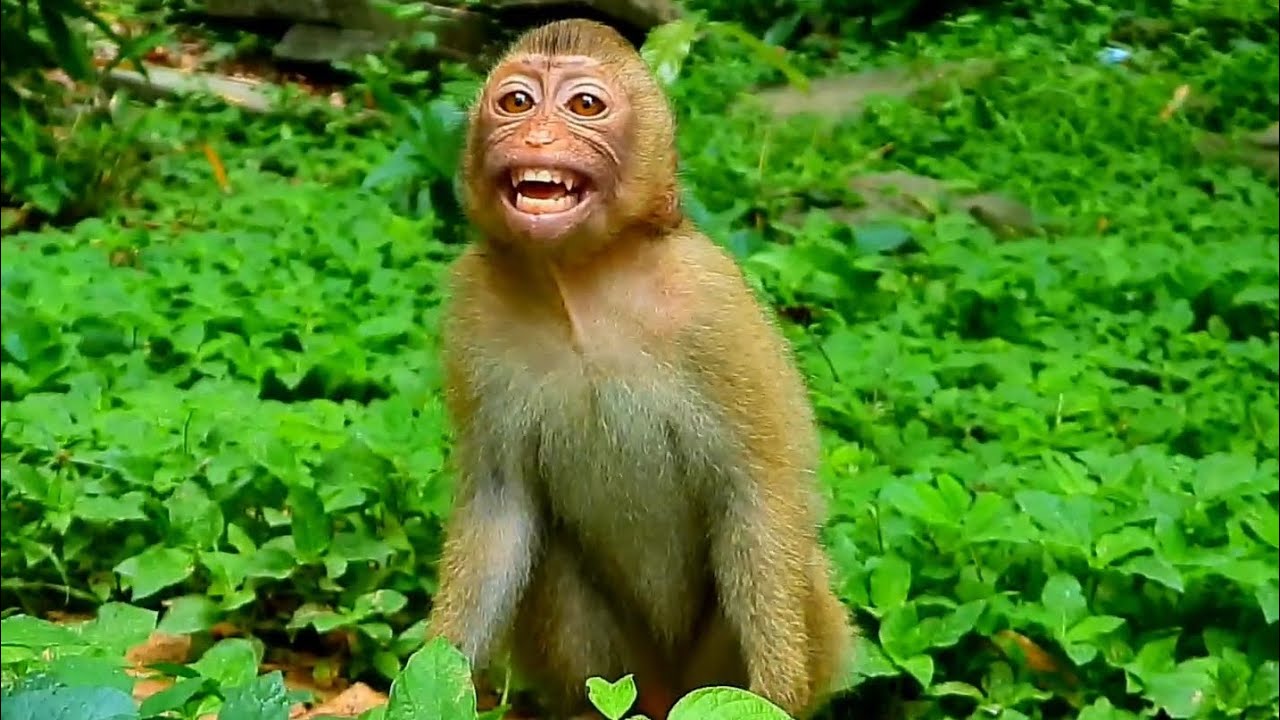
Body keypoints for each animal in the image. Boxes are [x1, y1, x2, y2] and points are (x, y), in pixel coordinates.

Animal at [425, 18, 854, 720]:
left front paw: (776, 698)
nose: (535, 137)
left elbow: (757, 498)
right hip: (624, 672)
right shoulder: (472, 308)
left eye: (584, 105)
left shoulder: (714, 301)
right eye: (516, 102)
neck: (579, 285)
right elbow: (500, 508)